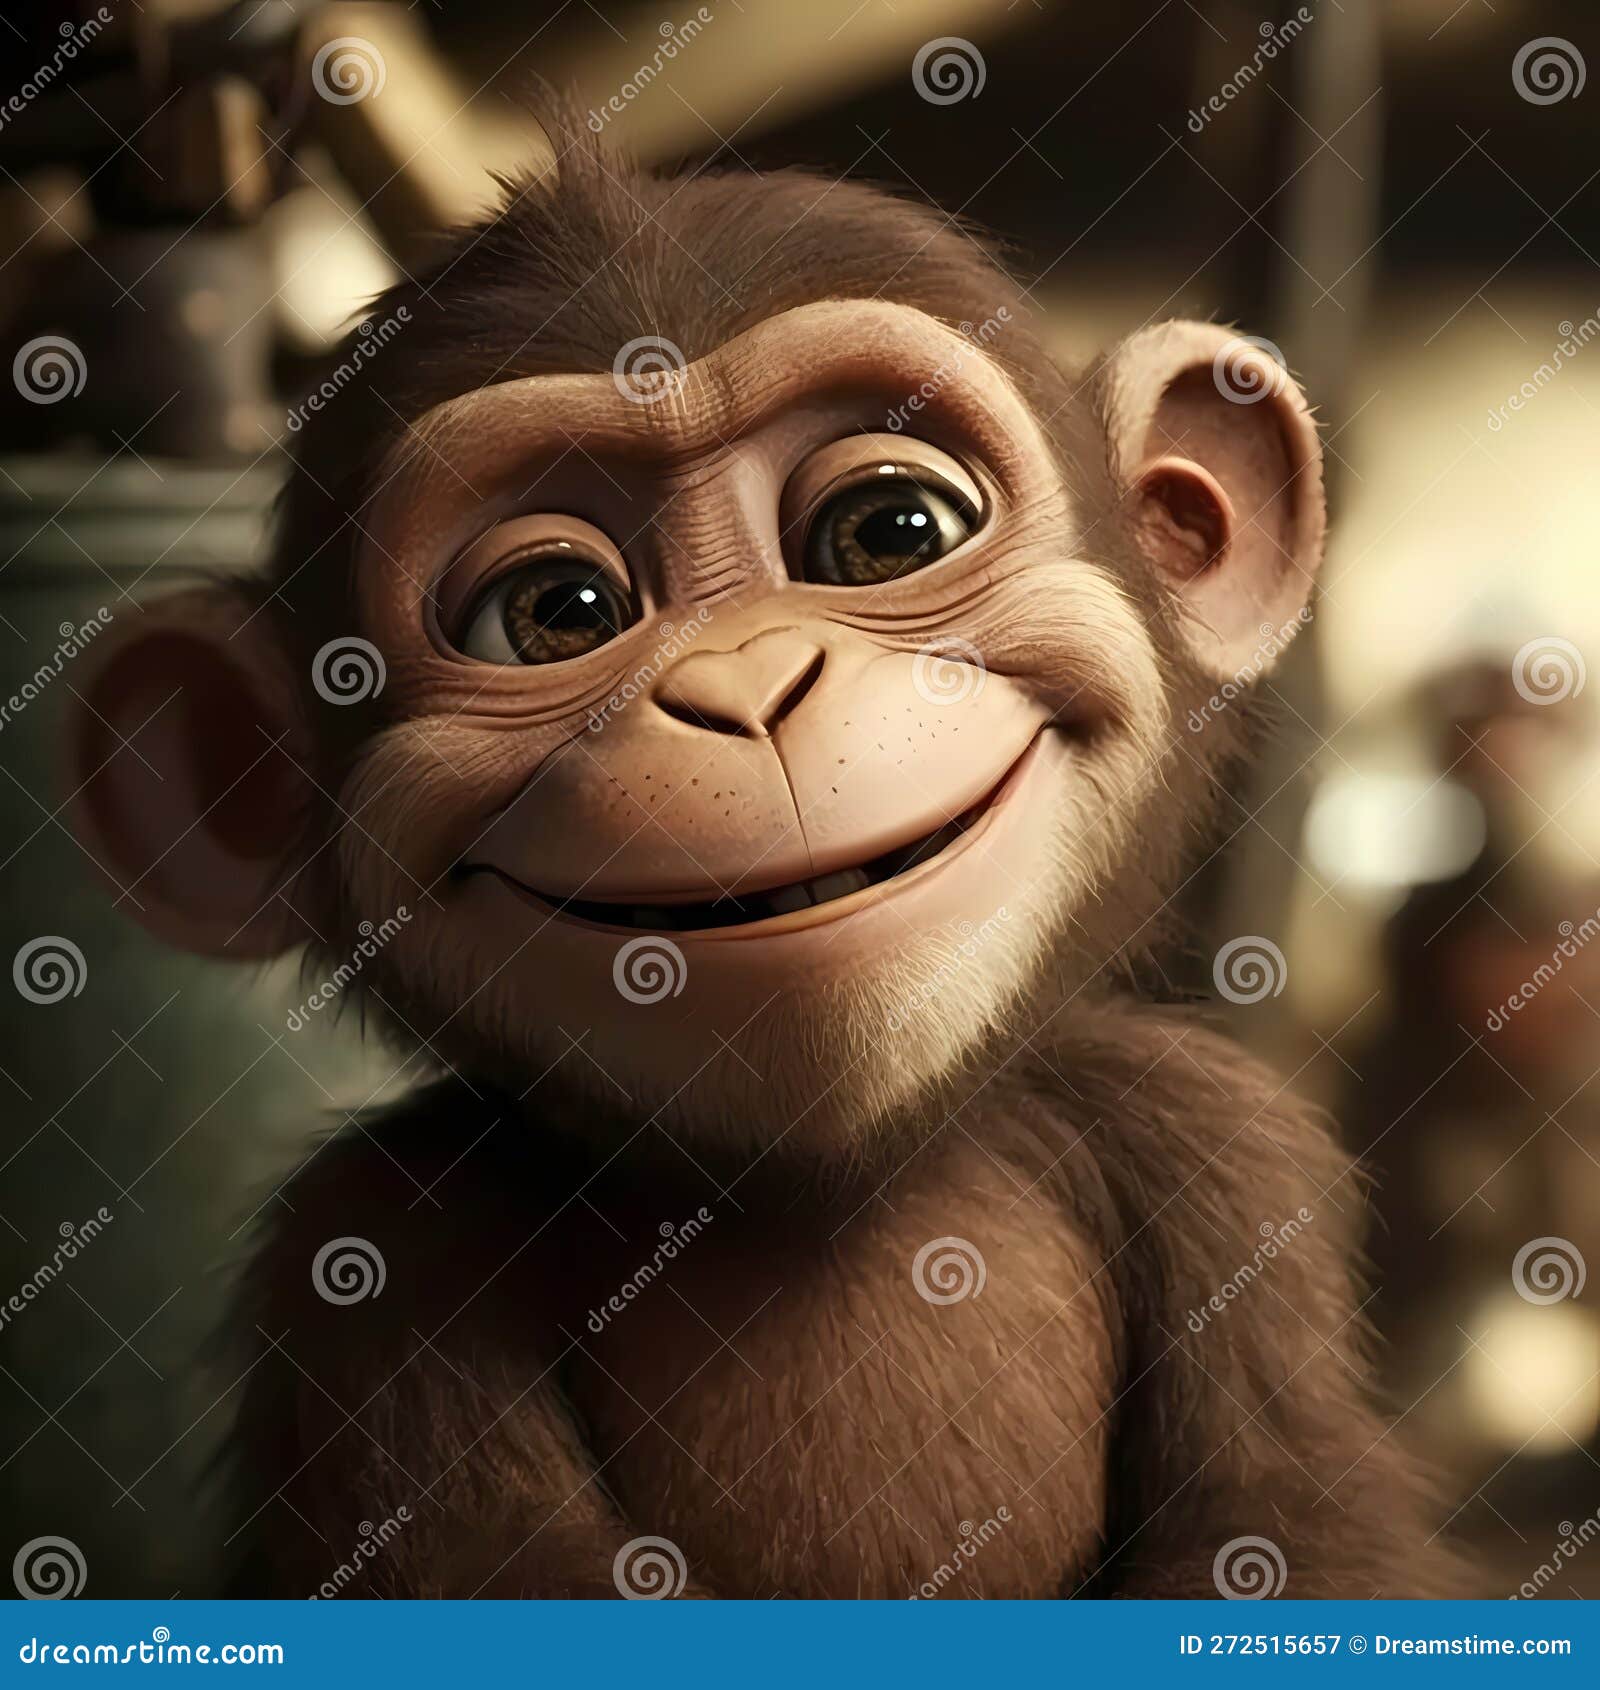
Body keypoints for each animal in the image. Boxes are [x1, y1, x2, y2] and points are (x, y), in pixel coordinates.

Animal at [67, 108, 1469, 1599]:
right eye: (556, 612)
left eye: (890, 530)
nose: (745, 688)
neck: (815, 1201)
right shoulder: (372, 1241)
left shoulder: (1218, 1143)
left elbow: (1283, 1527)